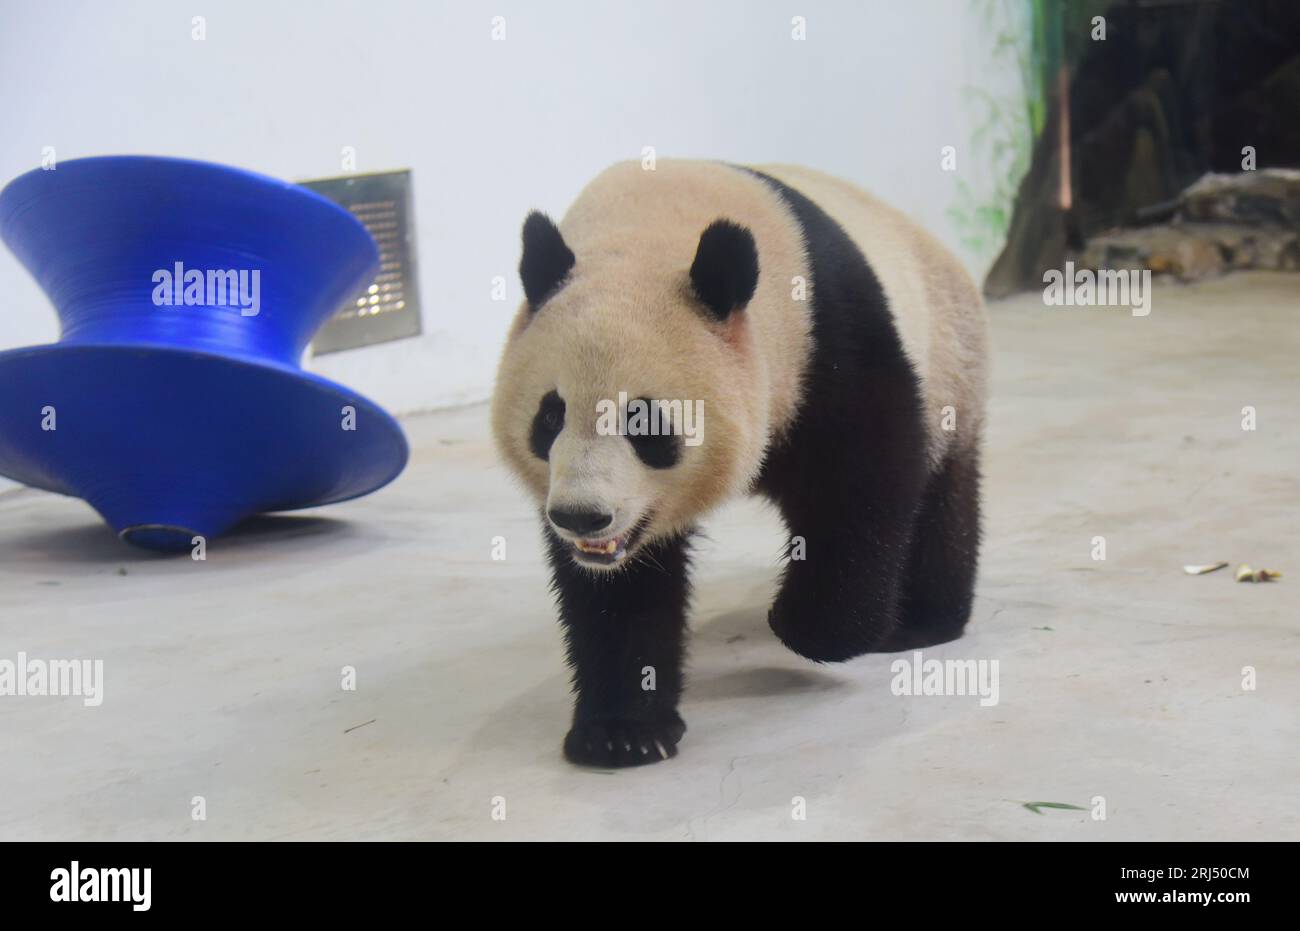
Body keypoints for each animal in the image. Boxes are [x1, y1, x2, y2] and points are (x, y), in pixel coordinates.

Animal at [491, 160, 988, 768]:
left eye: (644, 422)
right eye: (549, 416)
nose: (583, 516)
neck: (649, 229)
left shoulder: (830, 335)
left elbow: (863, 479)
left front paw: (807, 625)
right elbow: (620, 592)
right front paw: (623, 731)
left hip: (950, 362)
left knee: (943, 492)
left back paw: (922, 621)